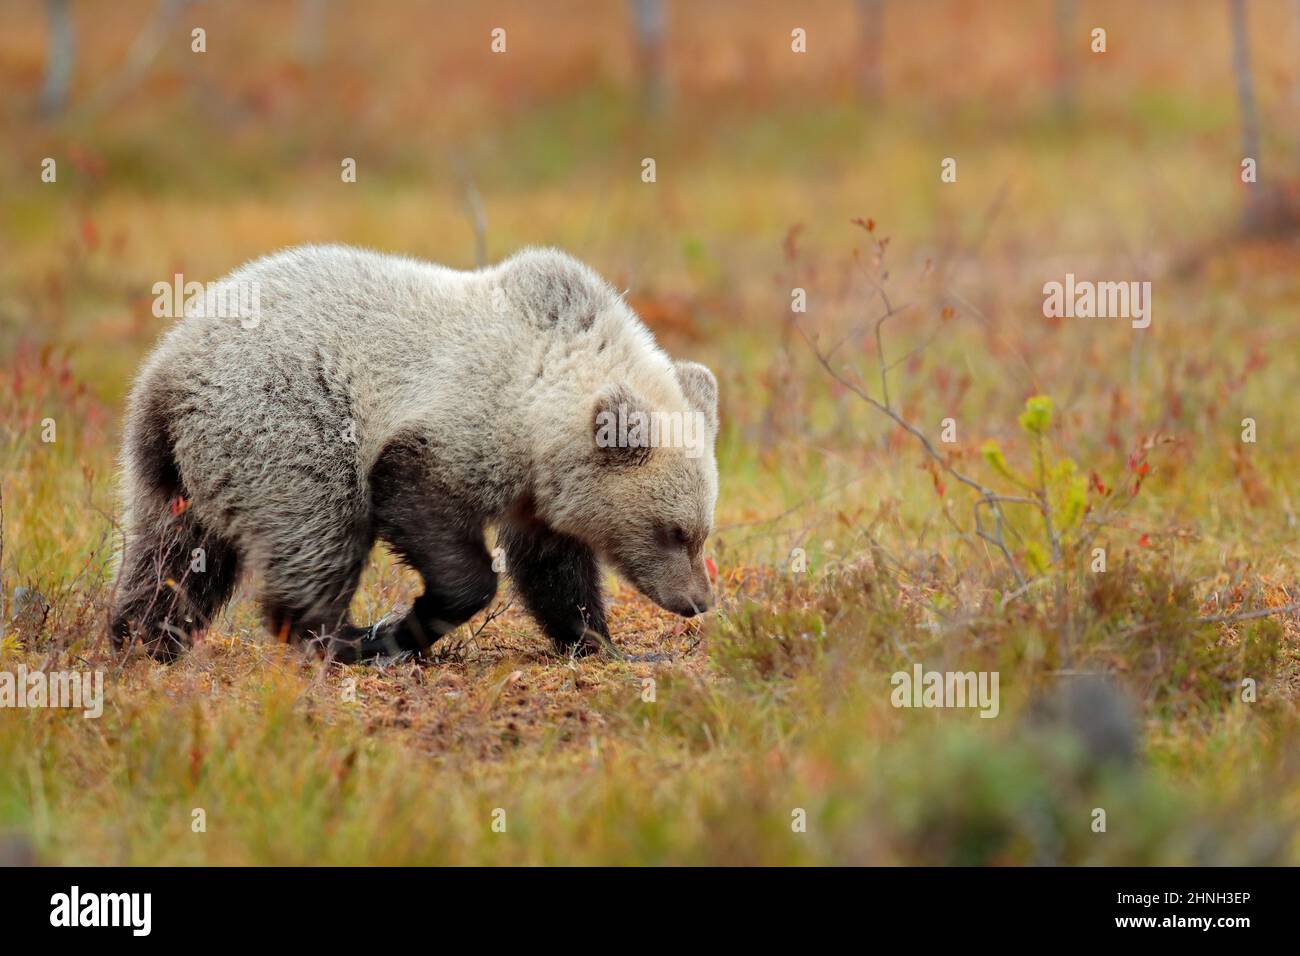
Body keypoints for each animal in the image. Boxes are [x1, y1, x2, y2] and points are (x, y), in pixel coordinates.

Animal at [109, 244, 718, 663]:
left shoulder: (537, 495)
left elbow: (554, 571)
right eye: (672, 531)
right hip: (283, 423)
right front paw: (408, 624)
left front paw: (606, 644)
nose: (698, 601)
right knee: (316, 529)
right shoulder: (458, 424)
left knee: (173, 555)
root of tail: (169, 366)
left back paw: (142, 636)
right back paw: (342, 639)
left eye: (701, 530)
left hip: (178, 463)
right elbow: (421, 505)